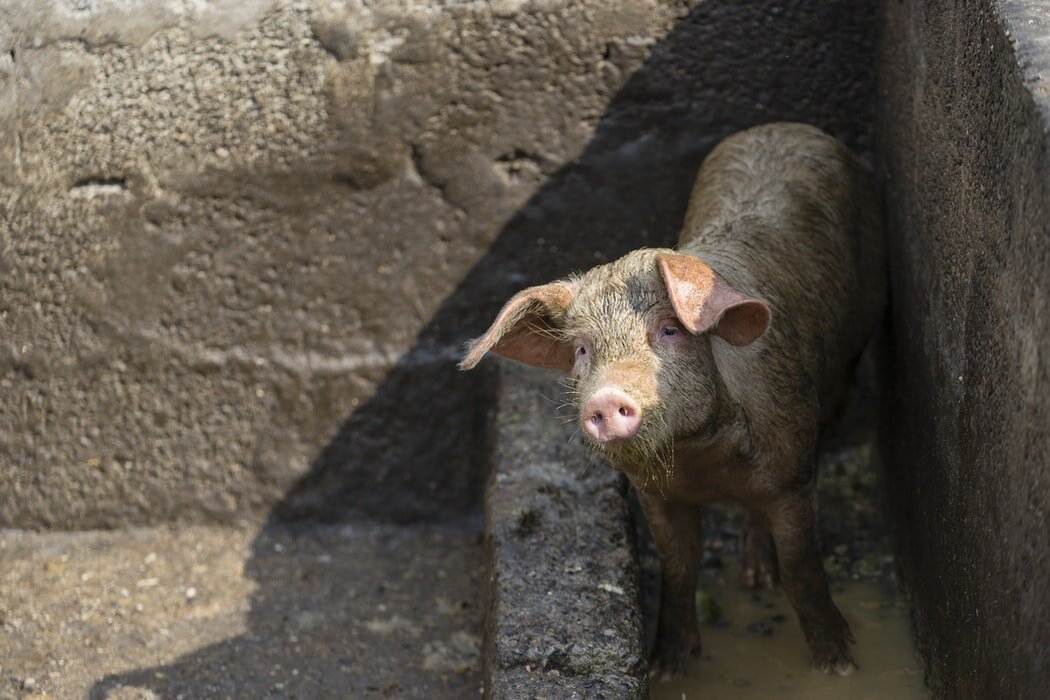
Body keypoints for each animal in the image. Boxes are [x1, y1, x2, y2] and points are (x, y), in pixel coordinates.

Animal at [459, 123, 886, 680]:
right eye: (582, 349)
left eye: (668, 330)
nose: (606, 398)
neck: (701, 458)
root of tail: (786, 127)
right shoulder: (655, 494)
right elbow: (679, 568)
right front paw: (667, 668)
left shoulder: (792, 472)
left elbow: (802, 569)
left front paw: (838, 666)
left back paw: (759, 581)